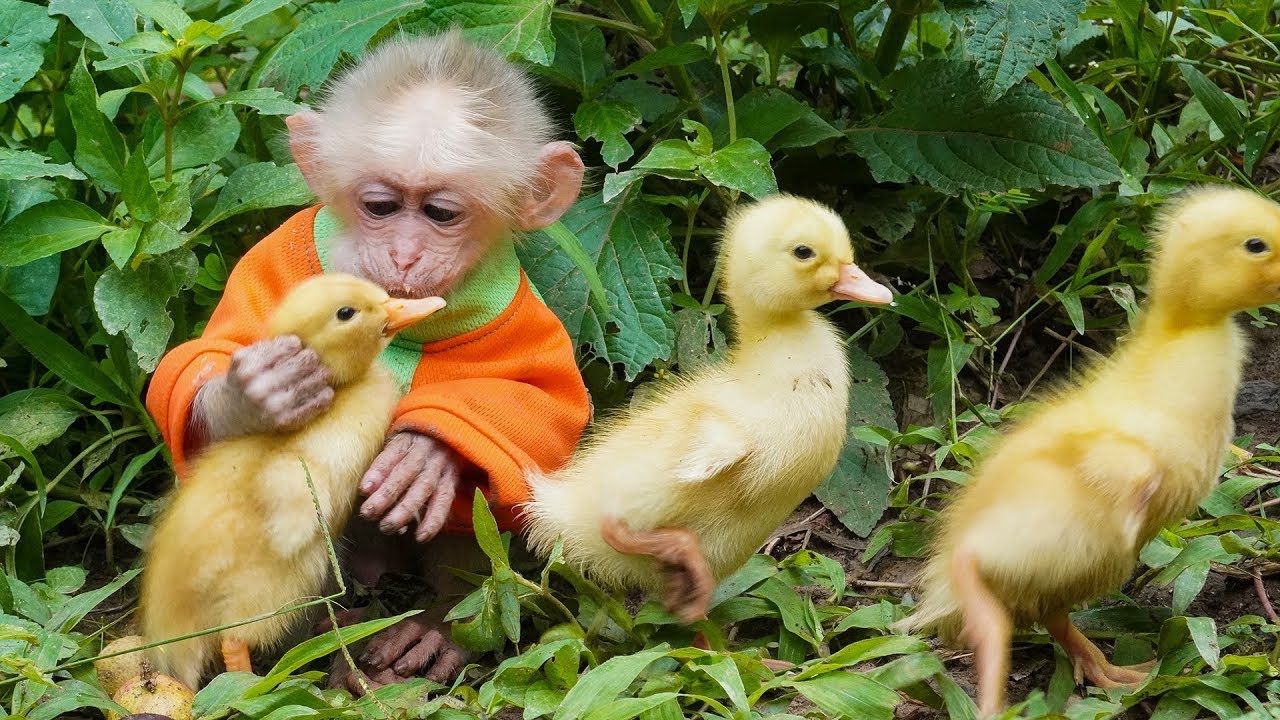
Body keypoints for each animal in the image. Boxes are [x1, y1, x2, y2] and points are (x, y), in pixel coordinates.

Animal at [145, 31, 591, 691]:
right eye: (380, 206)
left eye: (441, 214)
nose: (404, 260)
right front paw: (256, 389)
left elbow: (547, 413)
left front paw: (425, 454)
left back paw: (422, 634)